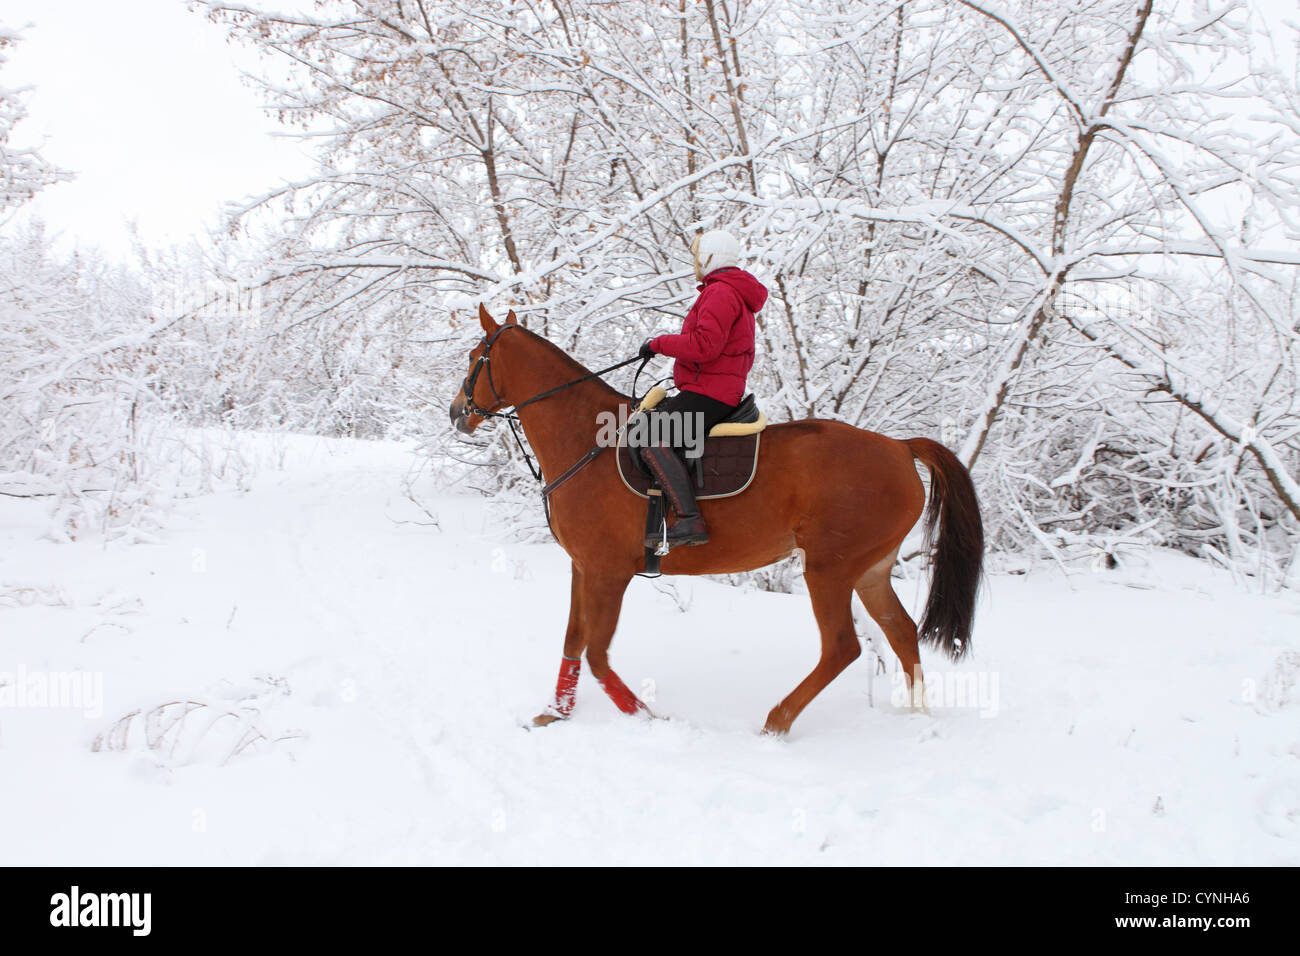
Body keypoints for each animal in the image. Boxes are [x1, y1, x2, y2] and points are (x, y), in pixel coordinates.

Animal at [449, 305, 984, 736]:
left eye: (476, 357)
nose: (457, 412)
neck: (587, 439)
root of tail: (899, 447)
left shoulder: (608, 572)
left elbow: (598, 654)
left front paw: (649, 718)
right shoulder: (584, 567)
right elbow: (573, 642)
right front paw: (556, 711)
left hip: (829, 568)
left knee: (842, 648)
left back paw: (776, 722)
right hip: (871, 568)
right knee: (902, 632)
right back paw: (918, 719)